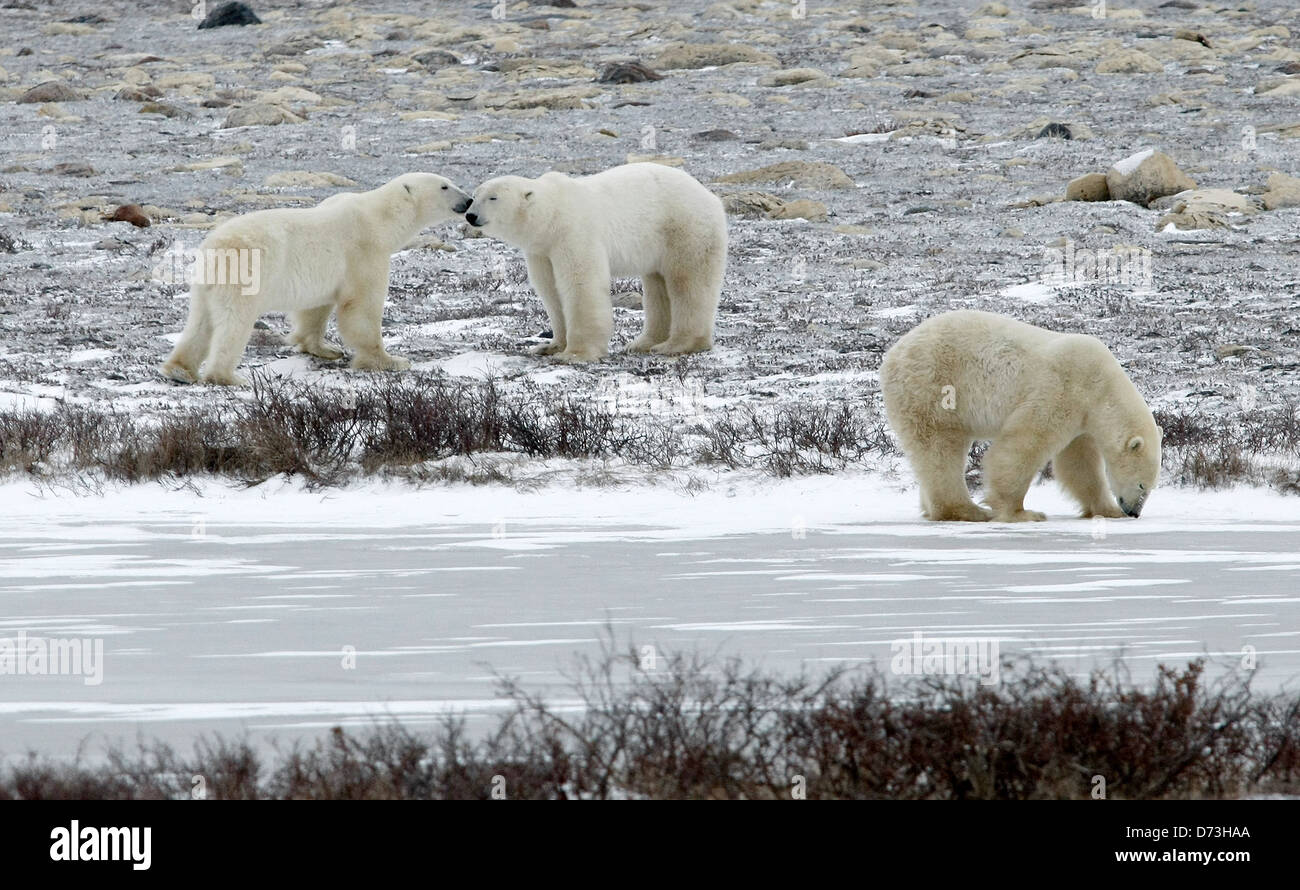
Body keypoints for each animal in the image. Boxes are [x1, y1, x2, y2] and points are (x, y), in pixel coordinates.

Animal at [159, 172, 471, 386]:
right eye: (444, 186)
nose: (468, 200)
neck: (380, 218)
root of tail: (215, 247)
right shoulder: (364, 252)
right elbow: (362, 308)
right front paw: (390, 360)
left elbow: (315, 308)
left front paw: (325, 349)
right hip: (245, 272)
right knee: (233, 323)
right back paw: (227, 376)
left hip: (206, 282)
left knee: (200, 322)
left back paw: (180, 369)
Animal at [464, 162, 727, 362]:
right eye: (474, 197)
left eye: (493, 197)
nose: (470, 215)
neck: (552, 215)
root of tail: (711, 197)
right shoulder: (542, 250)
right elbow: (551, 291)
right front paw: (550, 346)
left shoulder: (574, 234)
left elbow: (581, 284)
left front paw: (575, 353)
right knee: (658, 285)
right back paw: (643, 343)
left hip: (685, 228)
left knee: (688, 282)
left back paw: (675, 344)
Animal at [880, 309, 1161, 522]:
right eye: (1142, 485)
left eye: (1151, 486)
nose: (1134, 512)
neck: (1101, 385)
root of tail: (891, 356)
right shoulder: (1061, 389)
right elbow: (1024, 445)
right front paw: (1022, 513)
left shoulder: (1083, 417)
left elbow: (1079, 465)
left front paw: (1108, 510)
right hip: (933, 388)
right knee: (941, 448)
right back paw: (968, 510)